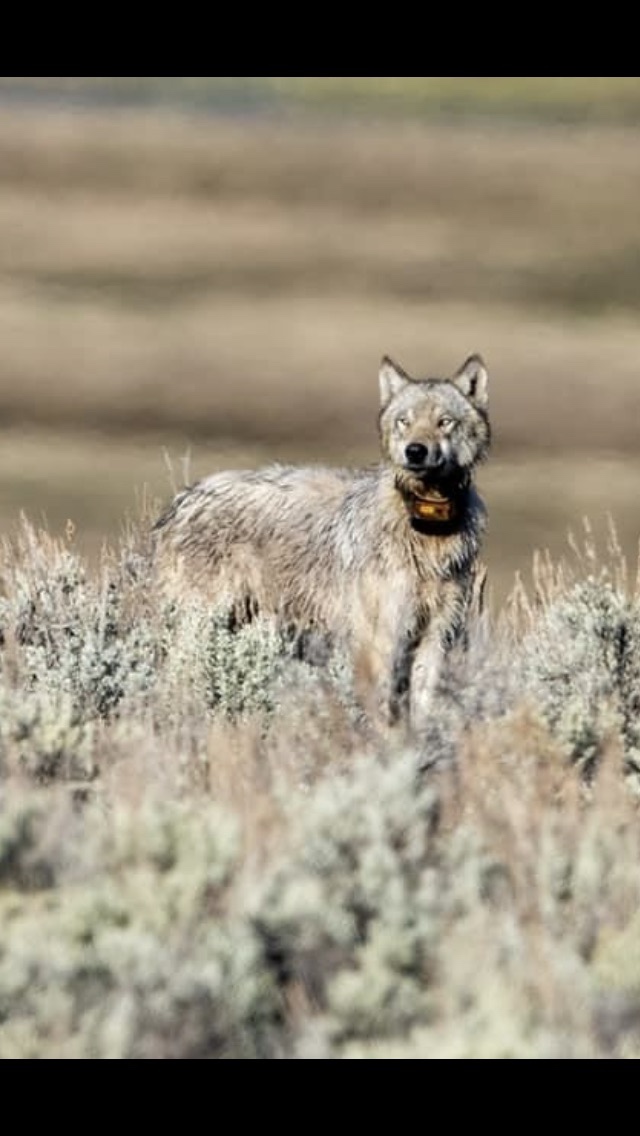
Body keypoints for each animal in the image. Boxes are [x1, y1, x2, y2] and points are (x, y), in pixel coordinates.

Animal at [152, 353, 491, 729]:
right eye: (404, 421)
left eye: (444, 422)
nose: (414, 451)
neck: (424, 524)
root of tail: (183, 499)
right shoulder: (380, 641)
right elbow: (382, 714)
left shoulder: (436, 637)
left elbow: (423, 710)